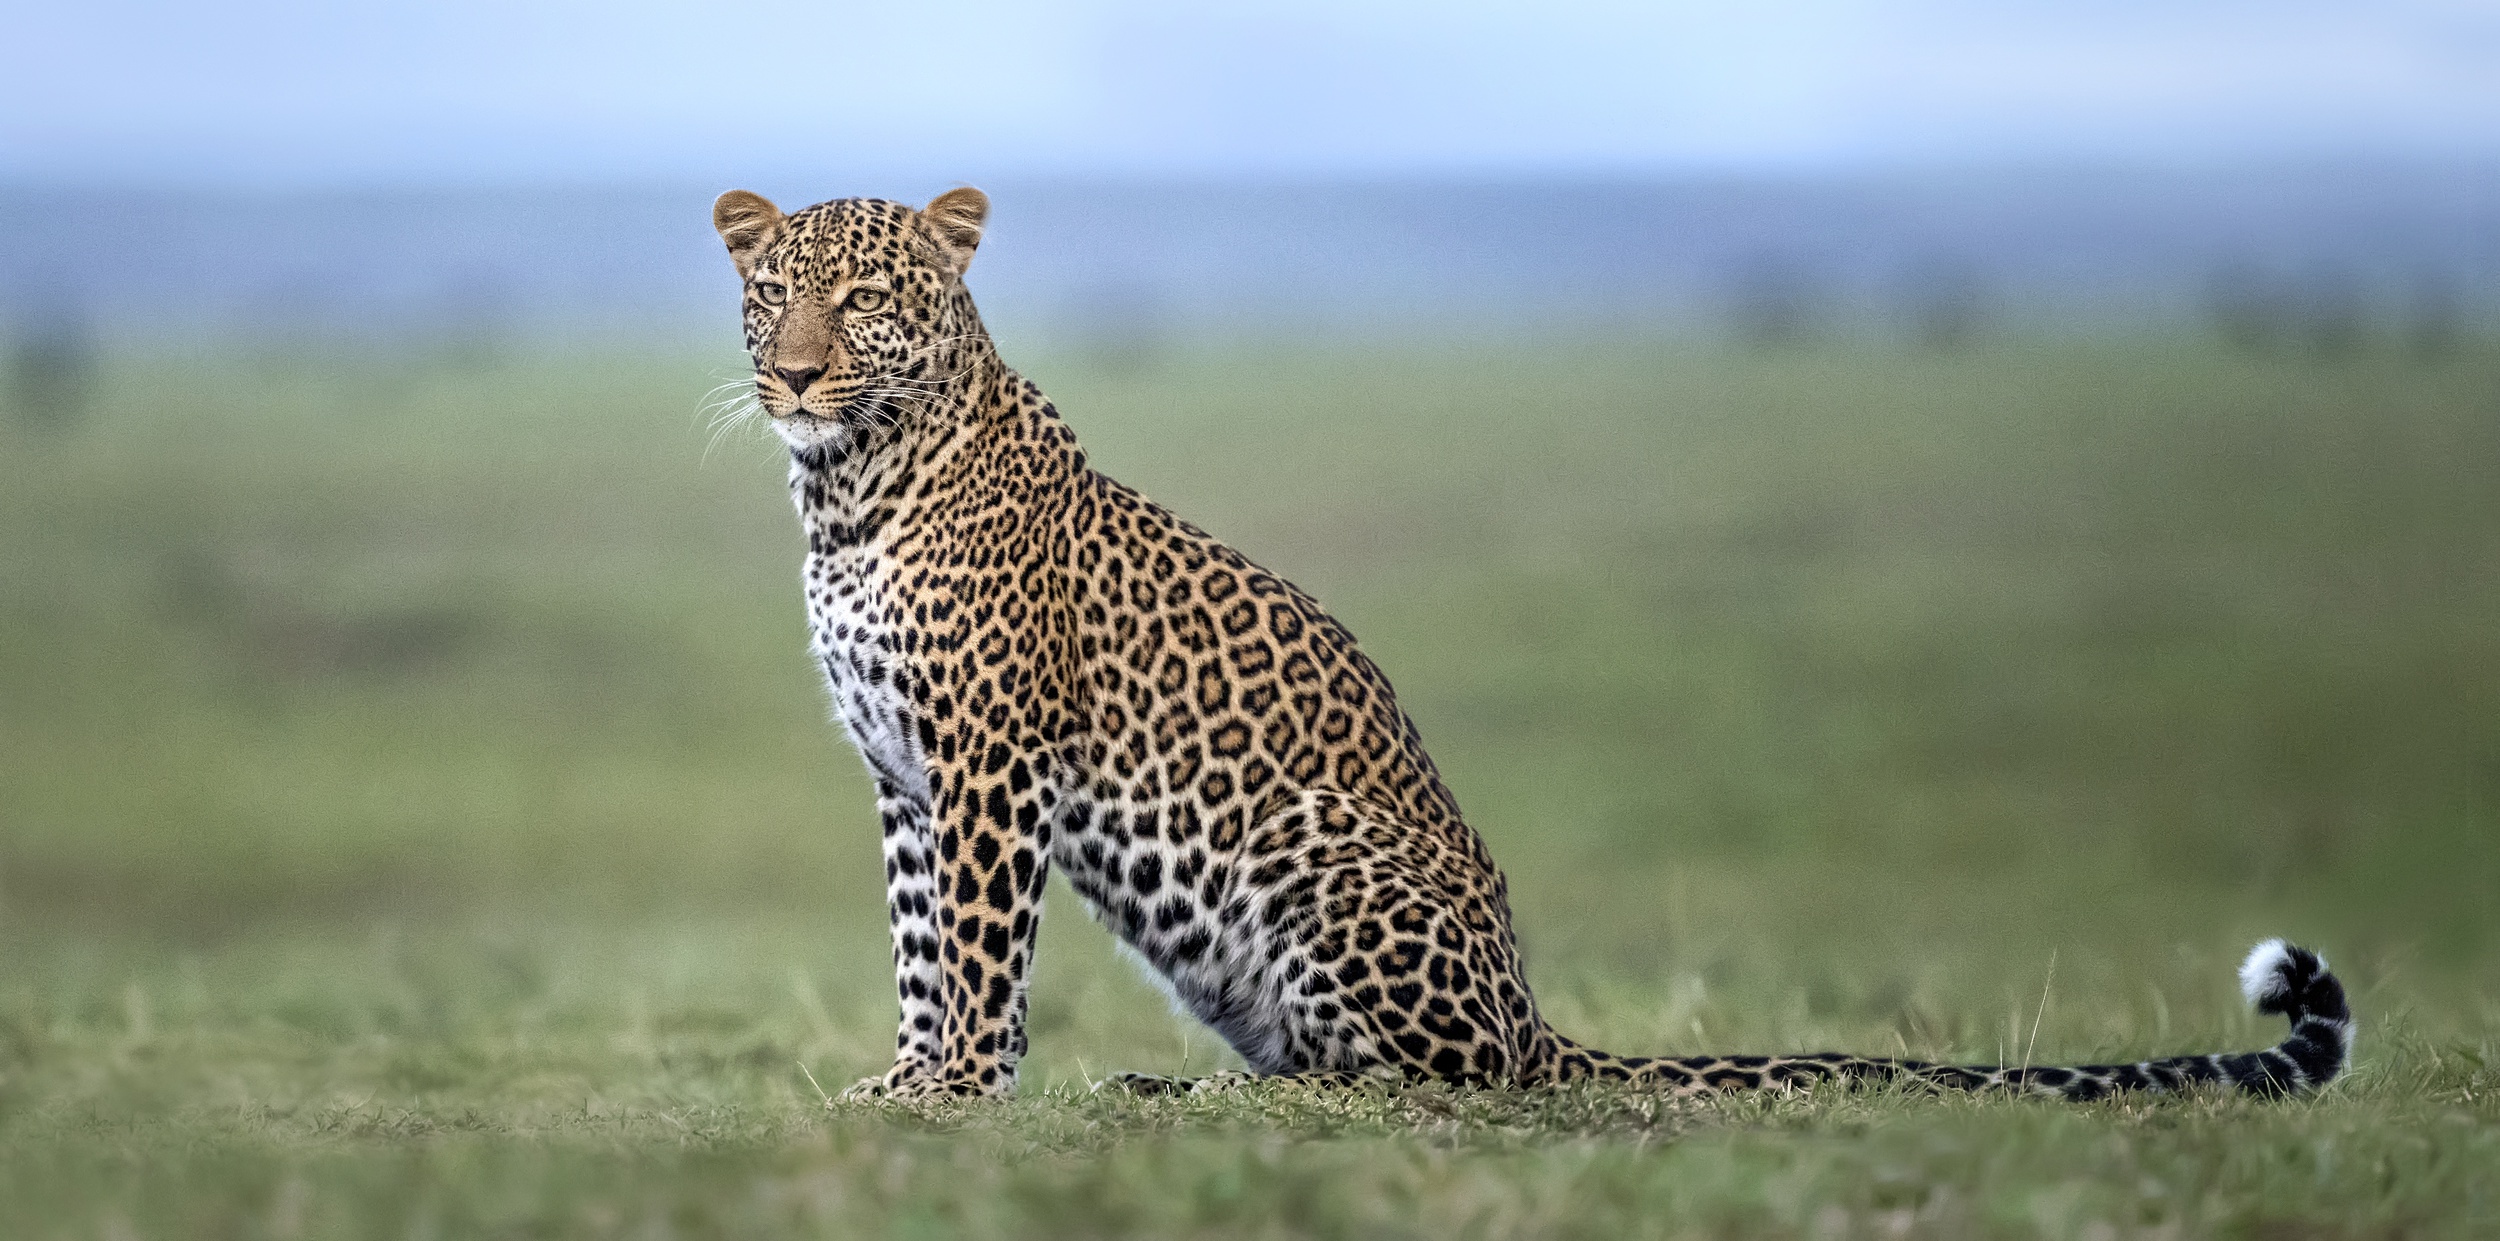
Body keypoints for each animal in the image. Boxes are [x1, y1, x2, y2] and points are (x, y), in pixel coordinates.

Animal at [707, 185, 2355, 1103]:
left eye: (864, 299)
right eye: (768, 294)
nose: (792, 376)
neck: (846, 488)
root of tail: (1533, 1015)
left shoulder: (989, 767)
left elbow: (981, 950)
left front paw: (954, 1097)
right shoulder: (904, 776)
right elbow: (922, 946)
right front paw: (902, 1077)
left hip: (1315, 851)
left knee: (1415, 1085)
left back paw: (1191, 1094)